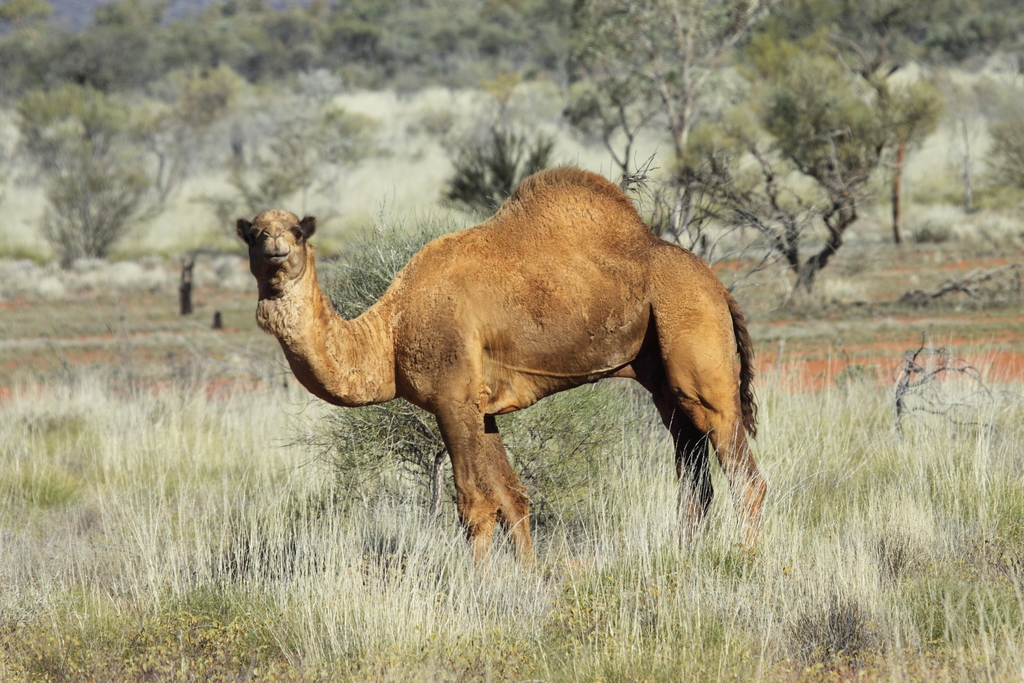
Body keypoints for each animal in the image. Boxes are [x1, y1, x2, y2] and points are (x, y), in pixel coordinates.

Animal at [237, 167, 767, 561]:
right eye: (255, 234)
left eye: (298, 231)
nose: (276, 249)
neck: (391, 333)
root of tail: (717, 285)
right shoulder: (481, 406)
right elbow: (513, 497)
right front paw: (528, 580)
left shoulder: (451, 398)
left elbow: (475, 502)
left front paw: (476, 589)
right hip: (662, 378)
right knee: (694, 478)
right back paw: (685, 556)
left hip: (696, 344)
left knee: (745, 475)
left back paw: (743, 560)